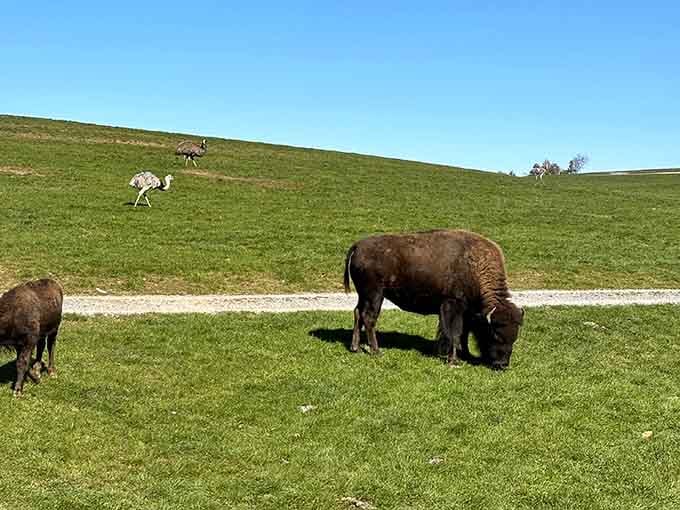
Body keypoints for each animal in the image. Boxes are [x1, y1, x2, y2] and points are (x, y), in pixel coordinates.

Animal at [343, 230, 524, 369]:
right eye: (495, 334)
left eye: (515, 337)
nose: (502, 364)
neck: (475, 266)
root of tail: (357, 246)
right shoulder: (452, 305)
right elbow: (454, 333)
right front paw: (453, 360)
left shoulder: (466, 312)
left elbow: (463, 334)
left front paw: (466, 355)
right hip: (375, 295)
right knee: (369, 318)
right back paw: (376, 351)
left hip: (364, 295)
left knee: (358, 313)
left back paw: (355, 347)